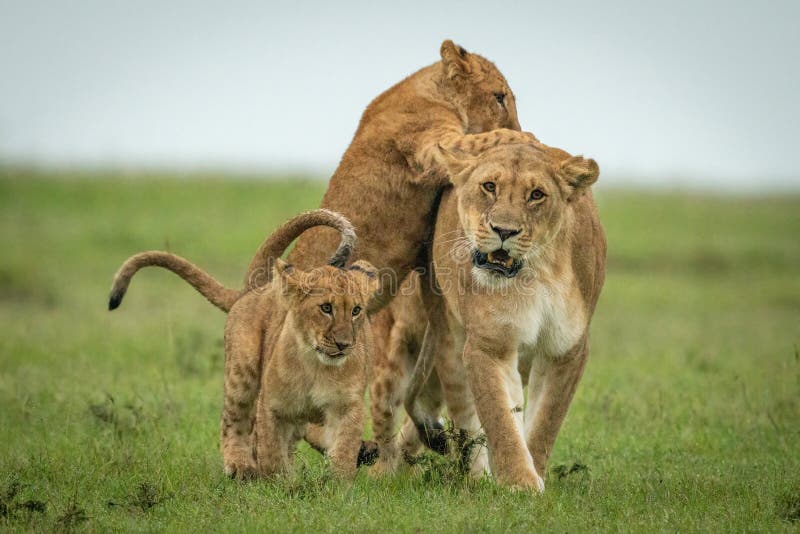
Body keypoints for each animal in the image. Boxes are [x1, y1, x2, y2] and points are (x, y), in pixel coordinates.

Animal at [108, 209, 378, 480]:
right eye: (326, 308)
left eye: (356, 311)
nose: (343, 344)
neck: (316, 367)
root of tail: (255, 288)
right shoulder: (272, 405)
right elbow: (271, 451)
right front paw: (281, 482)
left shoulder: (346, 406)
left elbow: (343, 448)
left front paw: (338, 483)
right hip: (241, 374)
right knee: (232, 422)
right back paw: (240, 467)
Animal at [379, 143, 606, 490]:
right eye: (489, 187)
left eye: (537, 195)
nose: (504, 231)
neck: (539, 271)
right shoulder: (490, 344)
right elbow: (501, 419)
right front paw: (520, 484)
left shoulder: (566, 350)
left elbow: (545, 421)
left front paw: (534, 474)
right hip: (446, 337)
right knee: (465, 418)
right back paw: (473, 479)